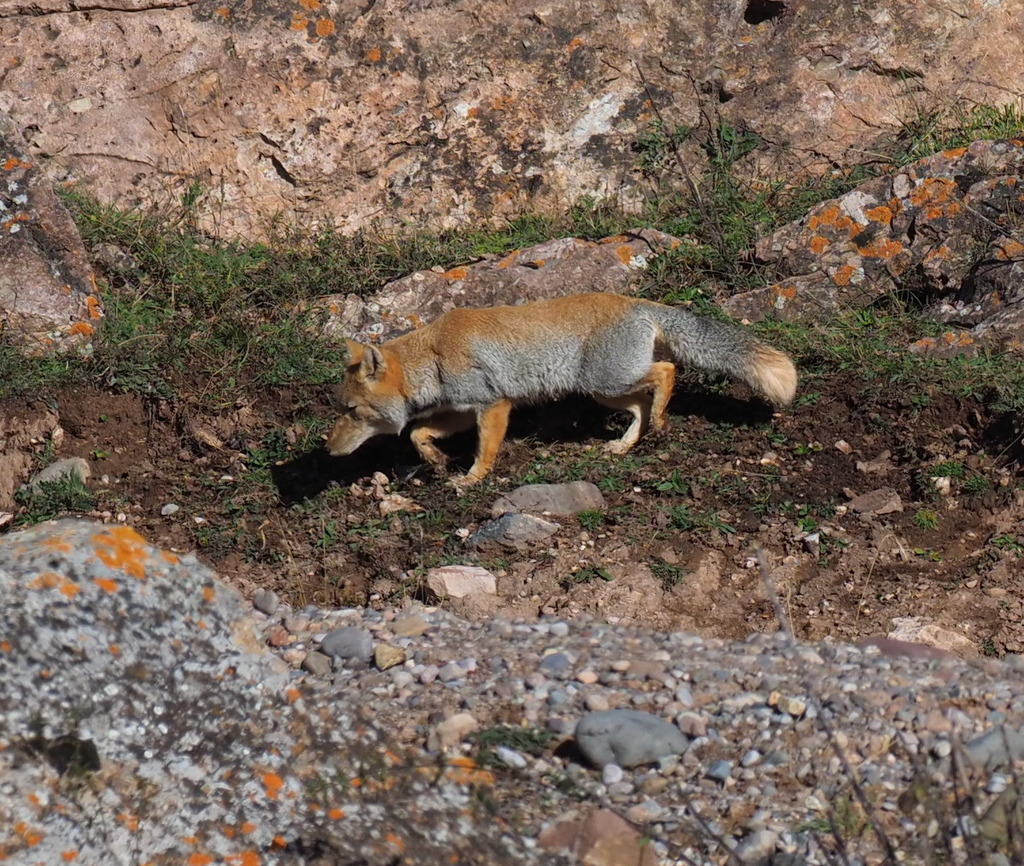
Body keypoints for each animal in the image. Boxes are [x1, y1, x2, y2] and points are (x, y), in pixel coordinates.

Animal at [326, 292, 797, 486]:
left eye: (351, 411)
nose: (328, 449)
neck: (435, 355)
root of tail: (632, 301)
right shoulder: (462, 409)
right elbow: (417, 433)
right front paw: (437, 460)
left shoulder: (494, 404)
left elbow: (484, 451)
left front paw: (472, 479)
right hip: (604, 390)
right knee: (641, 408)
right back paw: (624, 445)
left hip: (606, 380)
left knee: (666, 371)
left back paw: (662, 422)